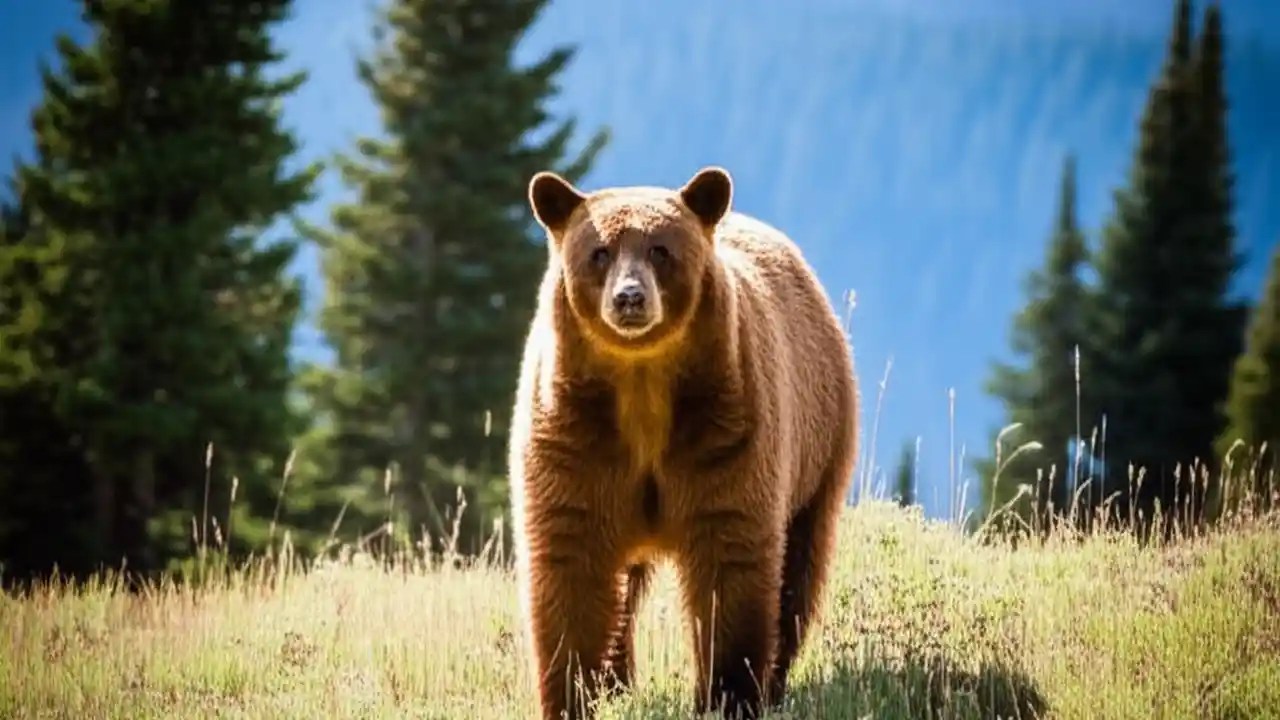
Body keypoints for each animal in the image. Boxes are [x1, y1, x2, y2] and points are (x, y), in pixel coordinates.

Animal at [508, 165, 859, 719]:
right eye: (600, 252)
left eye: (660, 250)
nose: (630, 298)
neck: (642, 385)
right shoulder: (573, 438)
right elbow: (570, 565)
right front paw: (572, 694)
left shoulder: (725, 431)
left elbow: (730, 562)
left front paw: (727, 694)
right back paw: (618, 682)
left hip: (820, 452)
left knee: (798, 574)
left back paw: (776, 681)